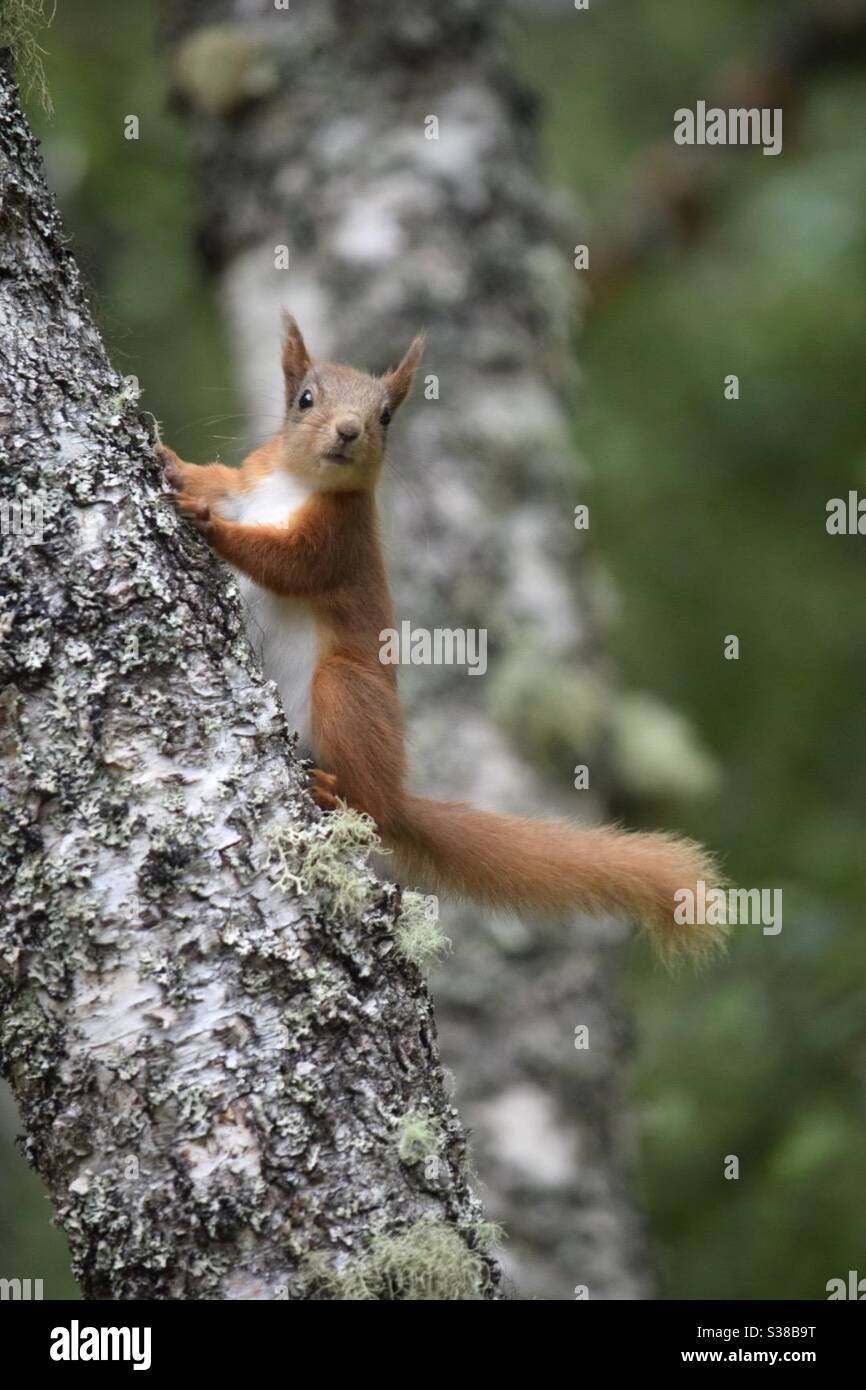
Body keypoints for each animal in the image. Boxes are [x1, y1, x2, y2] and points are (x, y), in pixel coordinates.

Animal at [160, 316, 724, 963]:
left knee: (369, 807)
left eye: (385, 417)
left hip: (347, 691)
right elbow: (221, 480)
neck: (293, 483)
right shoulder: (250, 480)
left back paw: (336, 794)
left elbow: (286, 564)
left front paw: (212, 527)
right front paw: (173, 464)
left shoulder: (338, 541)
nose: (349, 430)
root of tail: (396, 793)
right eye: (305, 398)